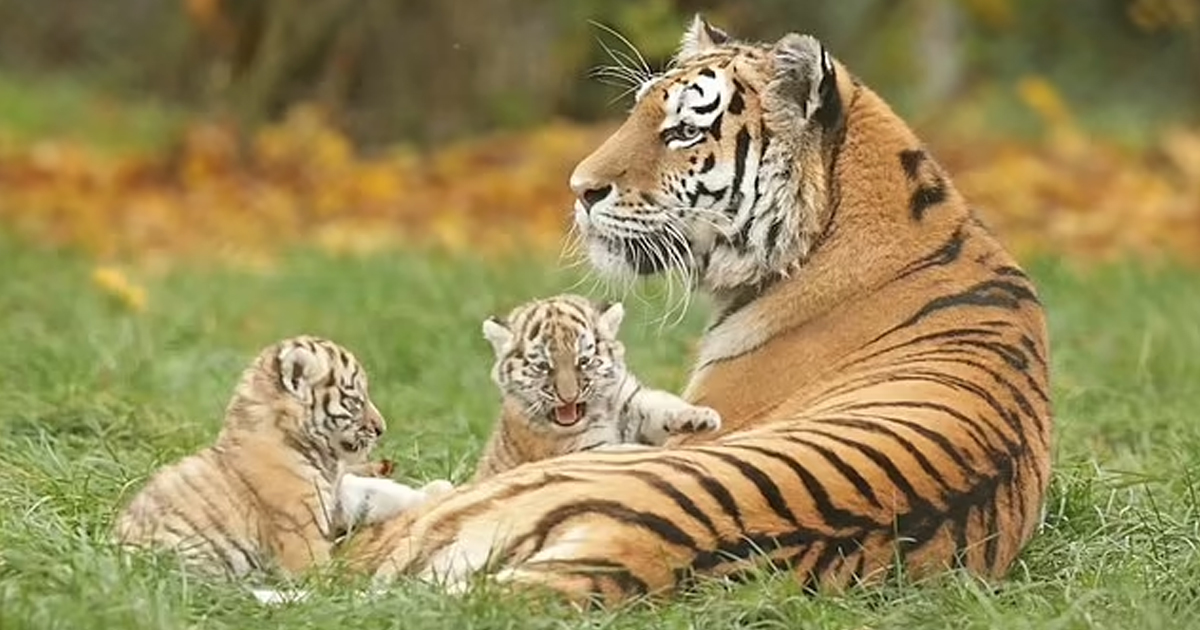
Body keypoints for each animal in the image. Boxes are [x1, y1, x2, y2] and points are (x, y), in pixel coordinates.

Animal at [112, 335, 451, 578]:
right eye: (355, 399)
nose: (381, 428)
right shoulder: (302, 534)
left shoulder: (333, 498)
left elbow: (371, 494)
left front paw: (437, 491)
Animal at [473, 294, 721, 480]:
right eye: (543, 366)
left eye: (583, 361)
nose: (569, 398)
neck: (598, 412)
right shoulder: (581, 451)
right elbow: (625, 452)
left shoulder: (630, 401)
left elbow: (659, 404)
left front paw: (700, 416)